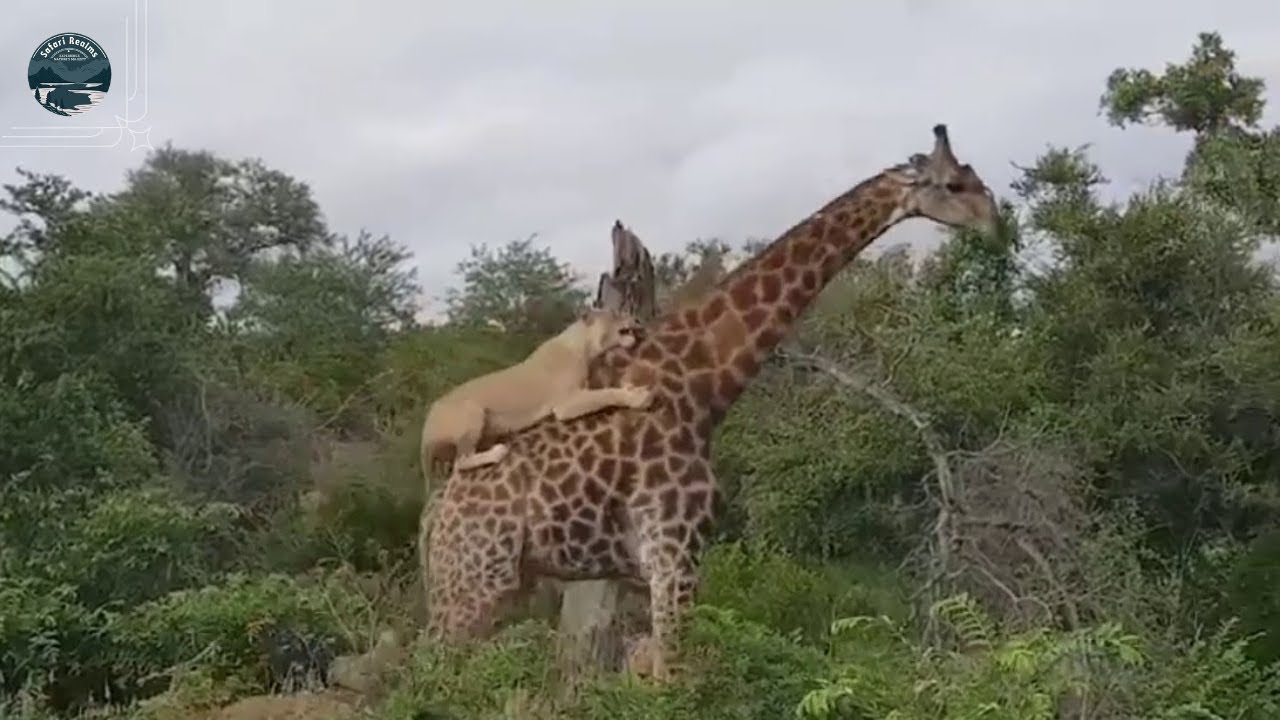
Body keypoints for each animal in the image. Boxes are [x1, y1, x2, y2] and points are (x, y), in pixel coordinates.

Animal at [420, 308, 651, 477]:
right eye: (615, 313)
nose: (637, 319)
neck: (585, 347)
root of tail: (426, 429)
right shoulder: (565, 403)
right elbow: (605, 394)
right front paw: (638, 397)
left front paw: (630, 387)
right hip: (471, 411)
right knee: (461, 462)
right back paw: (497, 452)